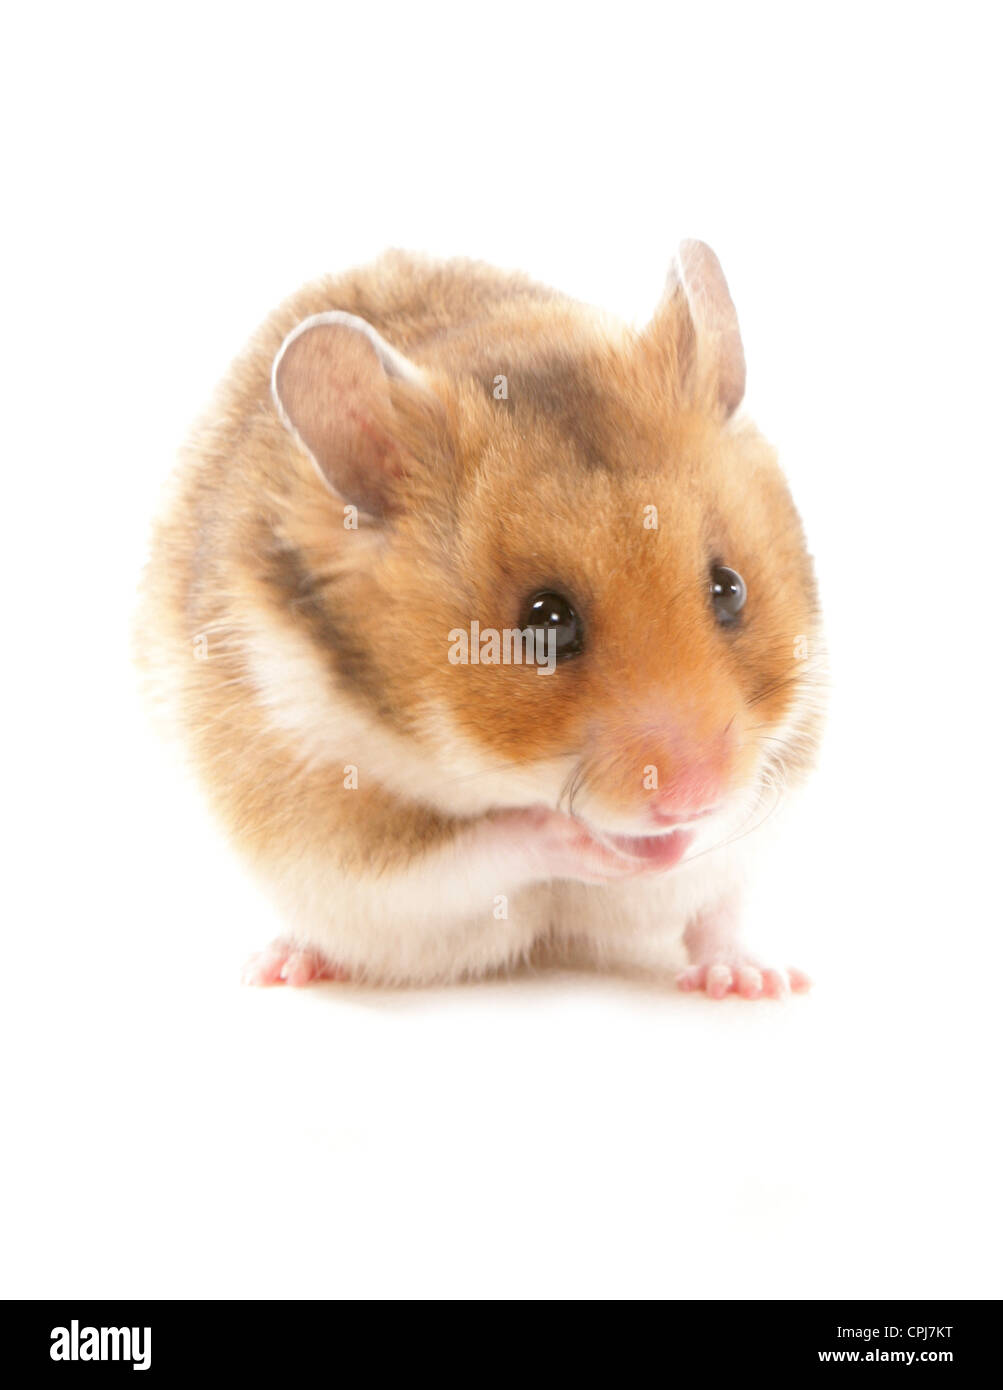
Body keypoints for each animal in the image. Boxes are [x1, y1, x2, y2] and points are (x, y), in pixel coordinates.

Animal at [136, 242, 825, 998]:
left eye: (729, 589)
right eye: (545, 624)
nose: (694, 796)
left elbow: (716, 891)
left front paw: (745, 954)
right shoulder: (337, 832)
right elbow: (493, 842)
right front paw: (624, 847)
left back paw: (750, 979)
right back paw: (282, 966)